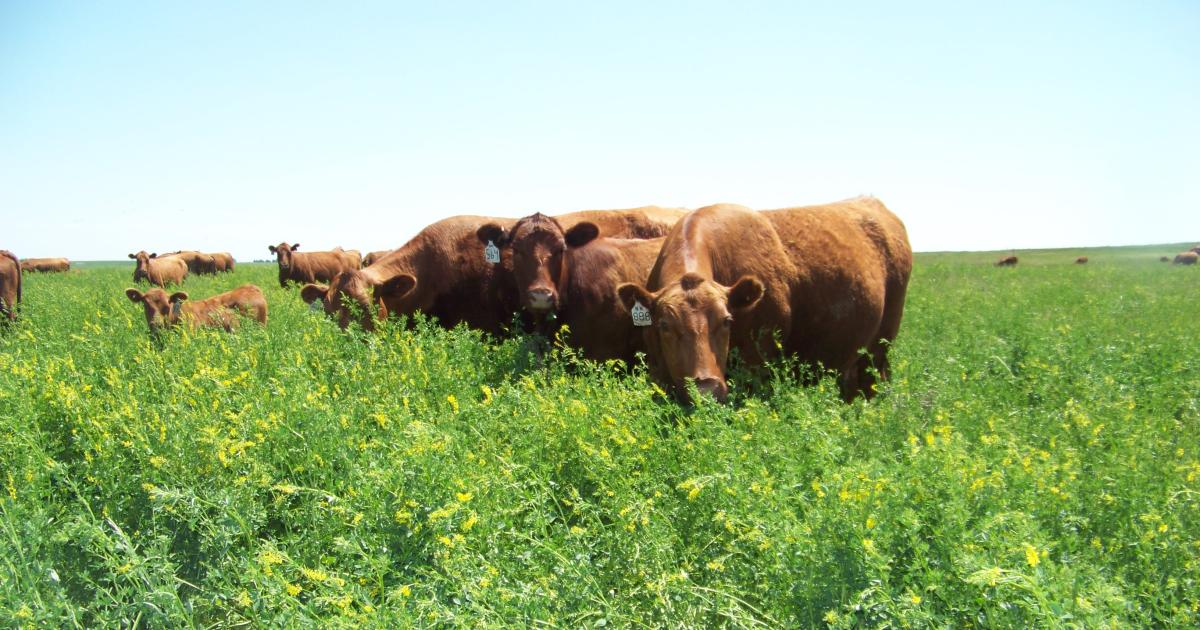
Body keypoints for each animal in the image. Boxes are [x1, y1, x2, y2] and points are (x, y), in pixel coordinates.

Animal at [616, 198, 912, 404]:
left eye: (727, 321)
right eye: (664, 325)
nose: (706, 389)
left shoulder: (758, 370)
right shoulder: (659, 374)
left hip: (880, 350)